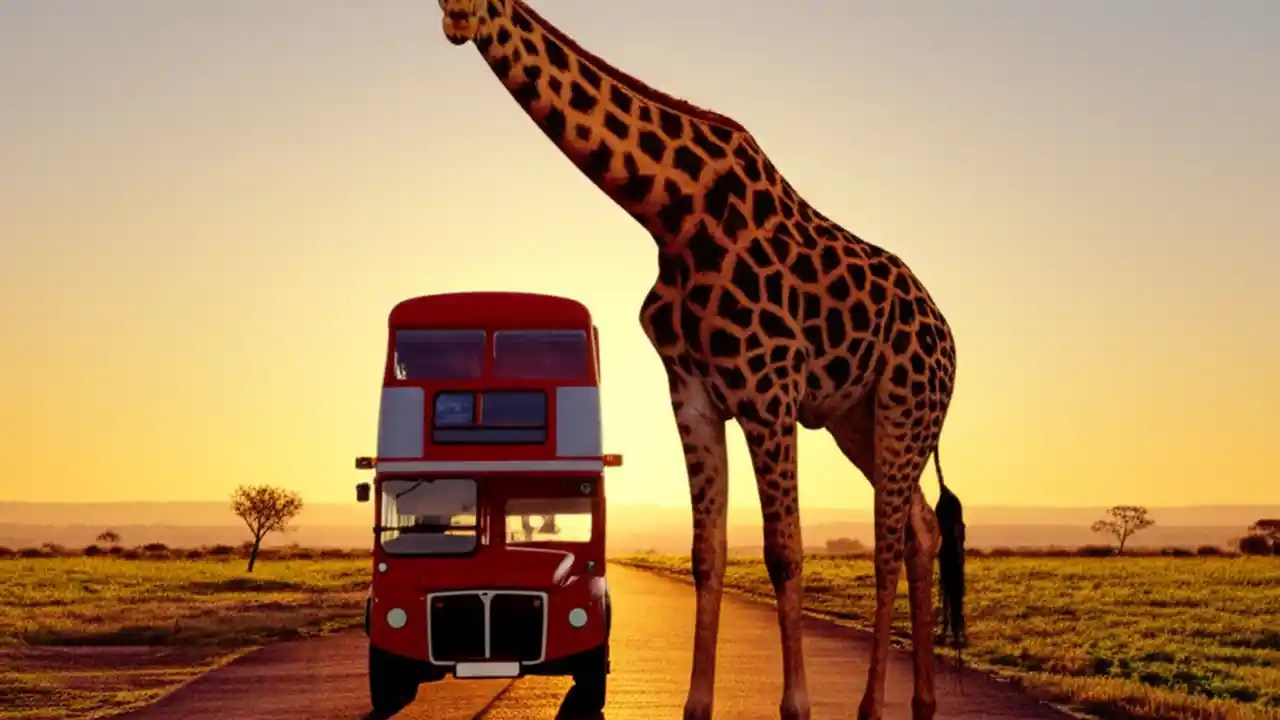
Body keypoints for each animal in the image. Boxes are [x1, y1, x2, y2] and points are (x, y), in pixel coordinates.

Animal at [434, 2, 967, 718]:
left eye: (486, 3)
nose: (457, 22)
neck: (673, 212)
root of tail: (948, 335)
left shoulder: (769, 391)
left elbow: (783, 551)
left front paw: (796, 706)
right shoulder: (693, 394)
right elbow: (705, 554)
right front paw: (696, 706)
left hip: (907, 404)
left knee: (888, 546)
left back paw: (871, 706)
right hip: (860, 422)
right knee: (920, 530)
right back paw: (923, 702)